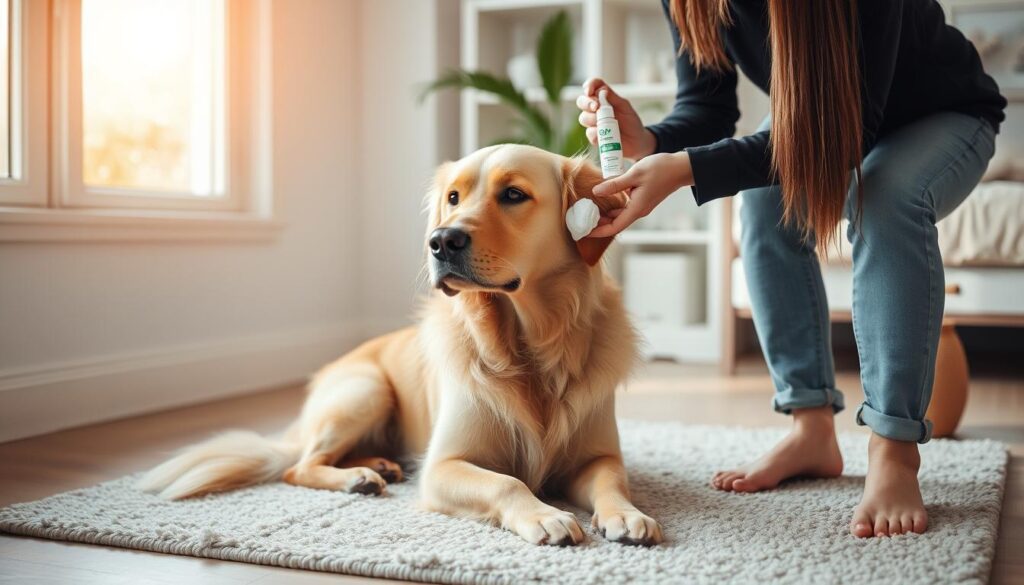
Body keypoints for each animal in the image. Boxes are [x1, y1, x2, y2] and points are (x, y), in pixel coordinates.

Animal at [138, 144, 663, 549]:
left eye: (514, 194)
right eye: (453, 197)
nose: (441, 240)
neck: (526, 344)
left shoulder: (596, 456)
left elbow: (612, 479)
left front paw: (626, 514)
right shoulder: (442, 466)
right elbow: (509, 482)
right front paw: (545, 514)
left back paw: (375, 465)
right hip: (365, 389)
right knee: (300, 466)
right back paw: (358, 477)